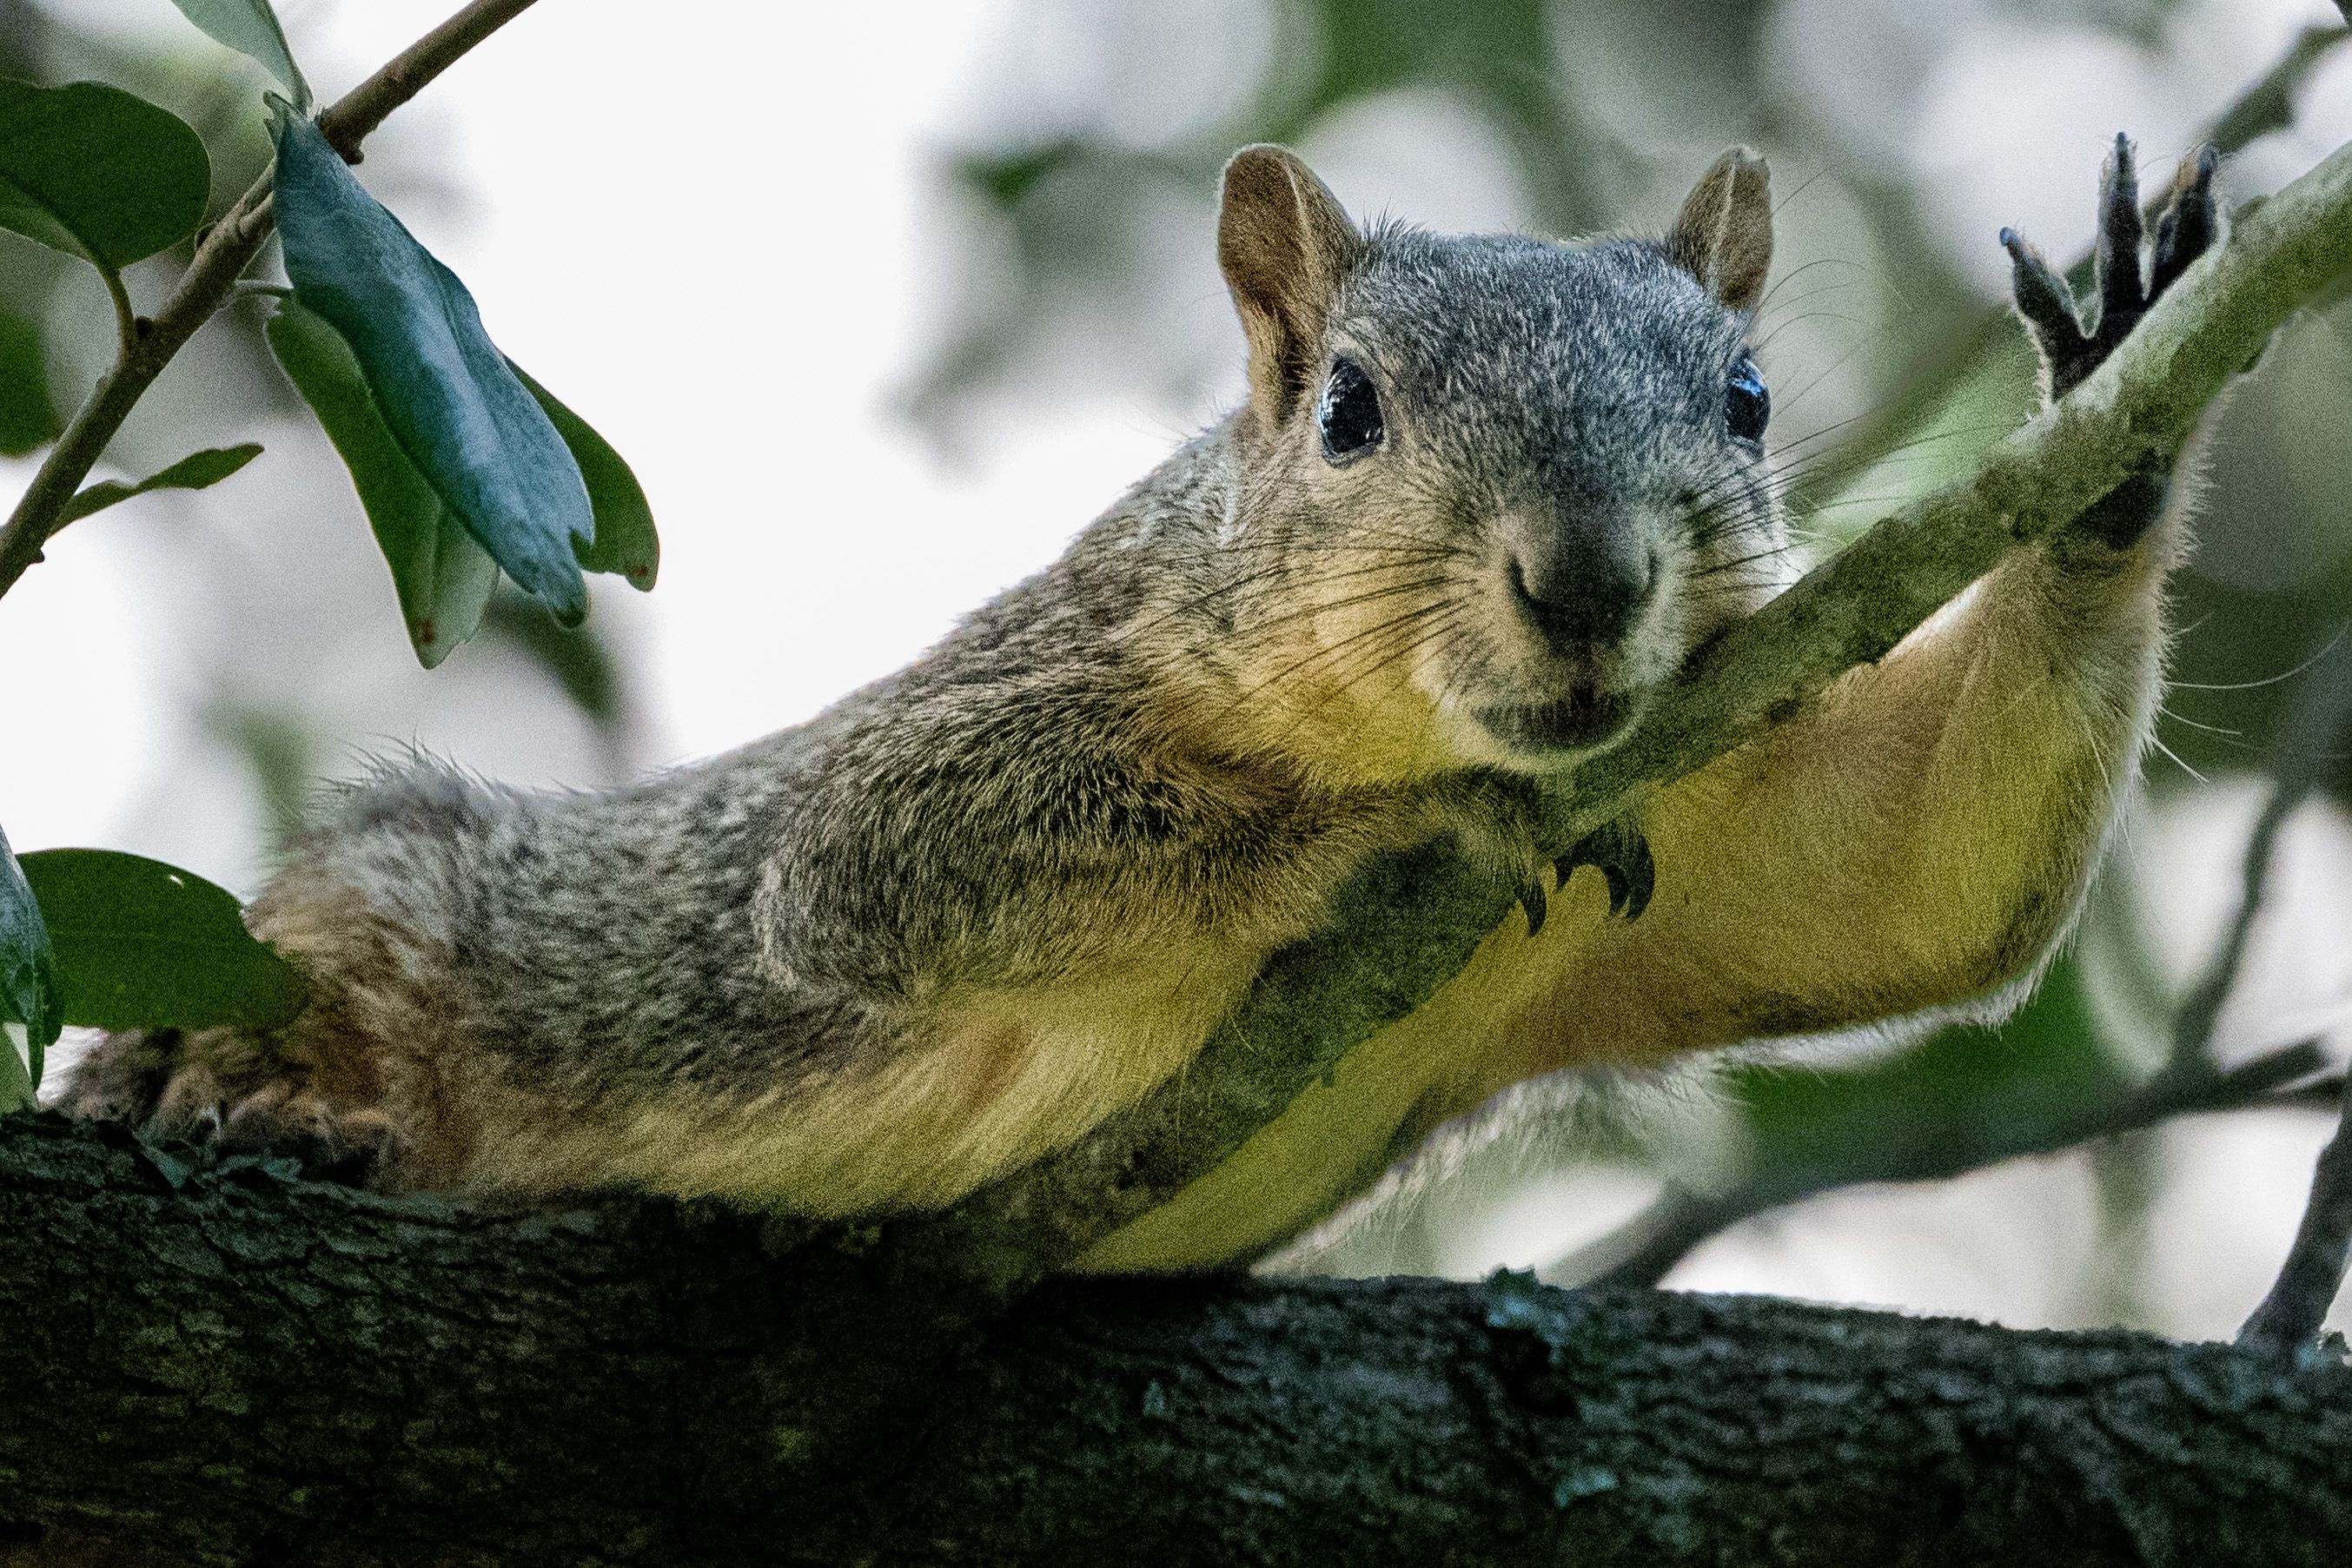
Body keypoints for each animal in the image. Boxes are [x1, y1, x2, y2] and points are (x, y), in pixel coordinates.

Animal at [64, 135, 2216, 1274]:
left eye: (1750, 403)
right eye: (1347, 408)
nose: (1591, 584)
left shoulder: (1689, 840)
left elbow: (1922, 888)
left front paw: (2123, 409)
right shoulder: (966, 736)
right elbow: (880, 868)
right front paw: (1382, 834)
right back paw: (232, 1083)